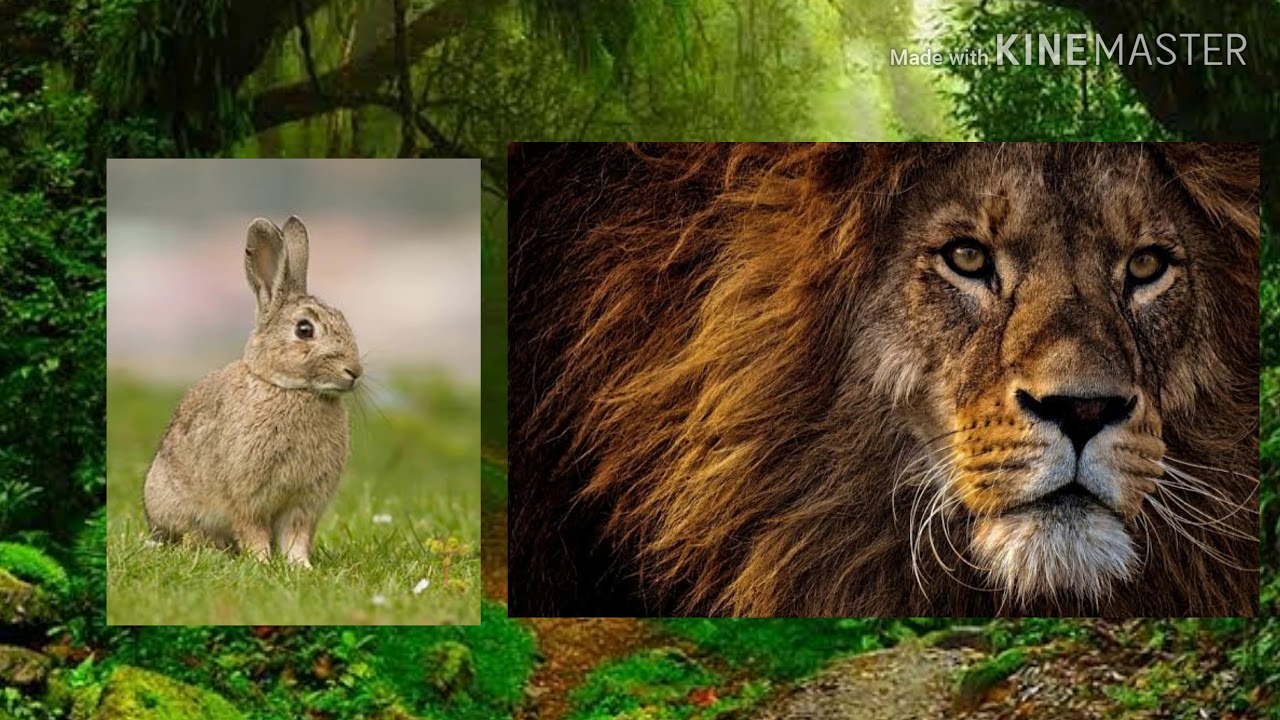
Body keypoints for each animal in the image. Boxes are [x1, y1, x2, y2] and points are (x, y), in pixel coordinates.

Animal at [143, 216, 363, 568]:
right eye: (304, 330)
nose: (354, 372)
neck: (291, 388)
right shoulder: (246, 496)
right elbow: (252, 530)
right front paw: (262, 562)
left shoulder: (303, 503)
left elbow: (296, 537)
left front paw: (300, 567)